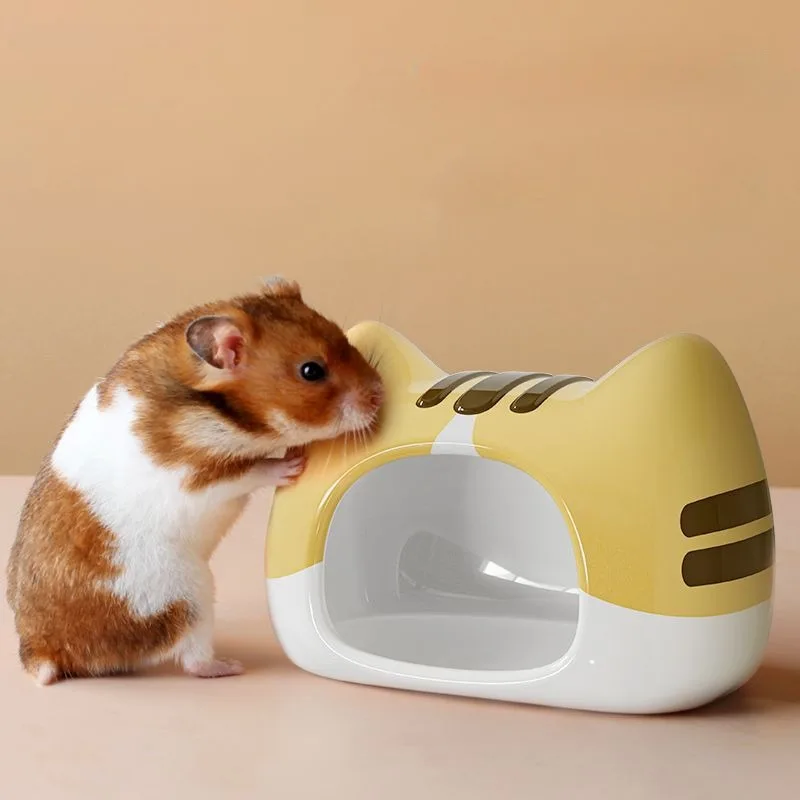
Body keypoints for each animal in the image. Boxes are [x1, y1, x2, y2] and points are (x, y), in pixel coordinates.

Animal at [5, 277, 384, 685]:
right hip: (189, 595)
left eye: (343, 339)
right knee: (193, 660)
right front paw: (294, 462)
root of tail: (42, 649)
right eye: (311, 370)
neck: (217, 409)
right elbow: (251, 471)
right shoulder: (196, 479)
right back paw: (231, 666)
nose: (380, 394)